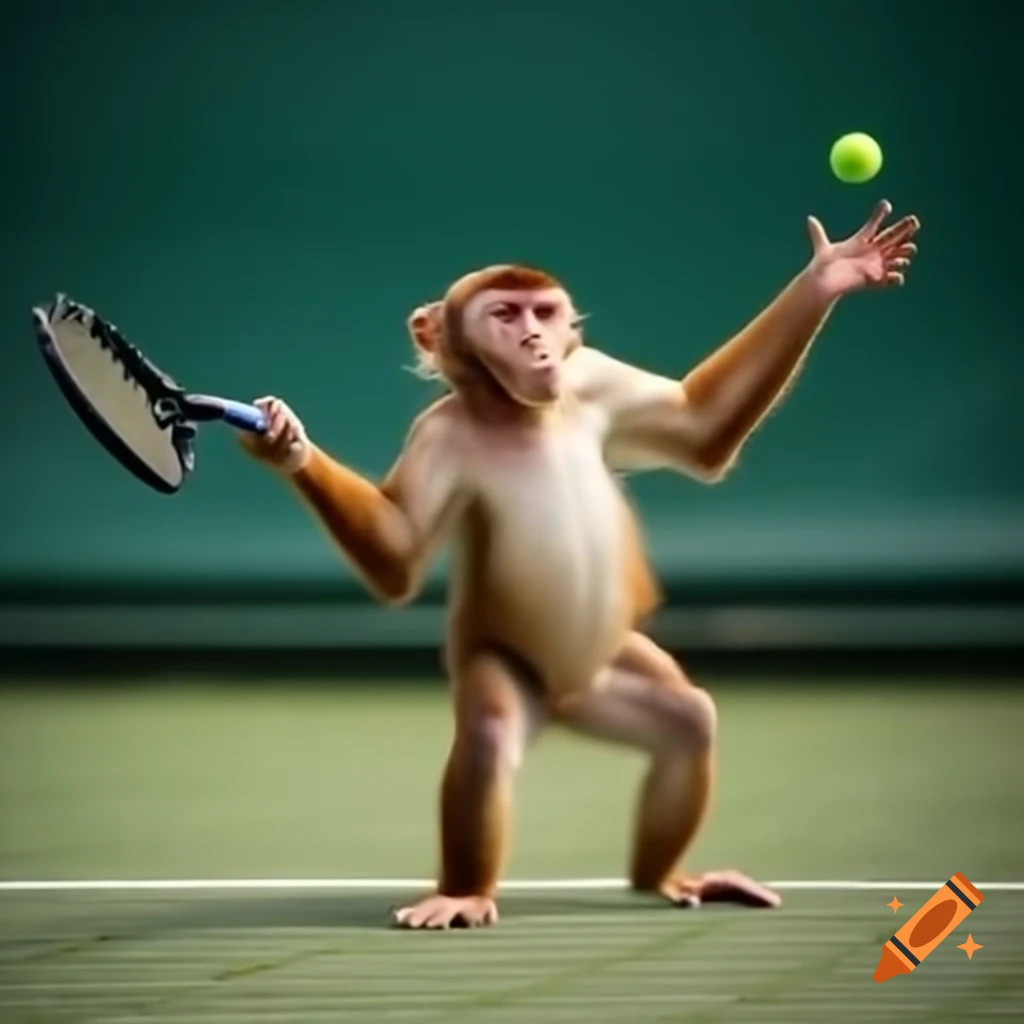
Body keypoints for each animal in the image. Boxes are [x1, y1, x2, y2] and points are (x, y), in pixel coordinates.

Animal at [238, 199, 920, 929]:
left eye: (543, 312)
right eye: (504, 315)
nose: (536, 344)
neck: (522, 414)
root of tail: (564, 700)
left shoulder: (592, 376)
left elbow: (699, 429)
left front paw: (832, 274)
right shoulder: (438, 438)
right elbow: (399, 560)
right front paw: (284, 445)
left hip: (607, 672)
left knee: (688, 723)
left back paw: (664, 876)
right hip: (513, 670)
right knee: (491, 731)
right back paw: (467, 890)